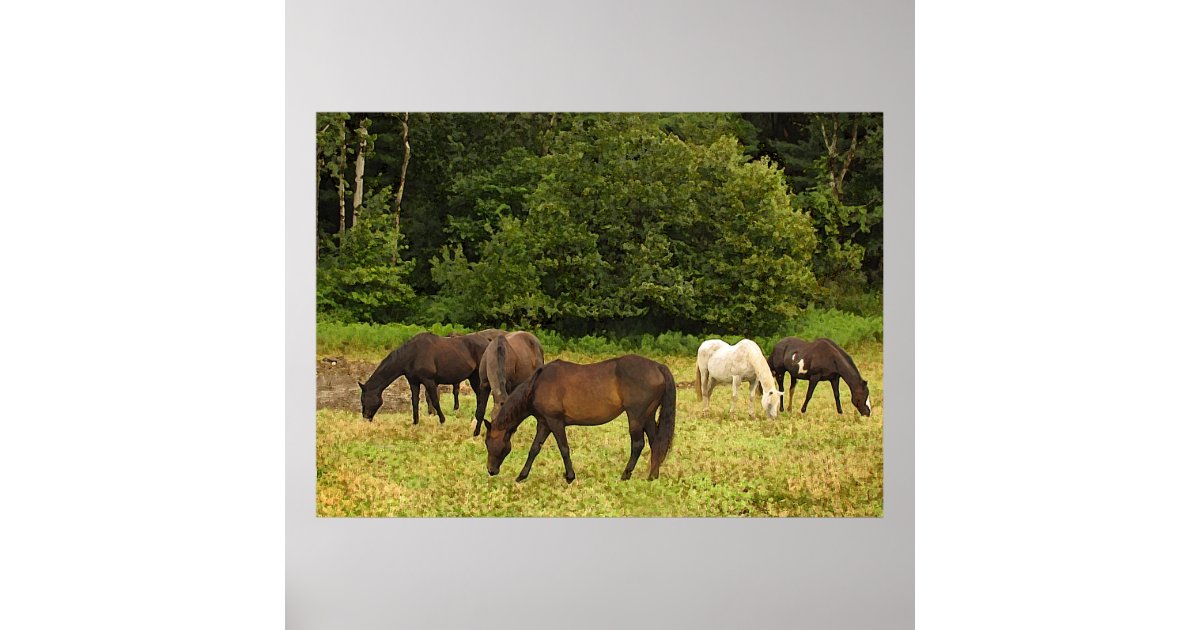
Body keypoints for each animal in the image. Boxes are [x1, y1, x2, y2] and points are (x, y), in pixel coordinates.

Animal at [358, 329, 503, 425]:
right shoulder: (413, 382)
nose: (365, 418)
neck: (413, 355)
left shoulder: (429, 381)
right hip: (473, 377)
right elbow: (415, 401)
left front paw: (442, 420)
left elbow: (435, 400)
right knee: (479, 395)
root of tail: (488, 341)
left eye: (364, 399)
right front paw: (415, 422)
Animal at [482, 355, 676, 483]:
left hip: (636, 417)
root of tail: (658, 367)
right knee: (656, 444)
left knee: (638, 445)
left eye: (488, 442)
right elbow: (534, 449)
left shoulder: (555, 422)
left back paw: (626, 475)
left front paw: (570, 476)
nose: (491, 470)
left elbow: (564, 448)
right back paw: (652, 476)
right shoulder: (544, 423)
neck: (537, 385)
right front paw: (522, 476)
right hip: (648, 417)